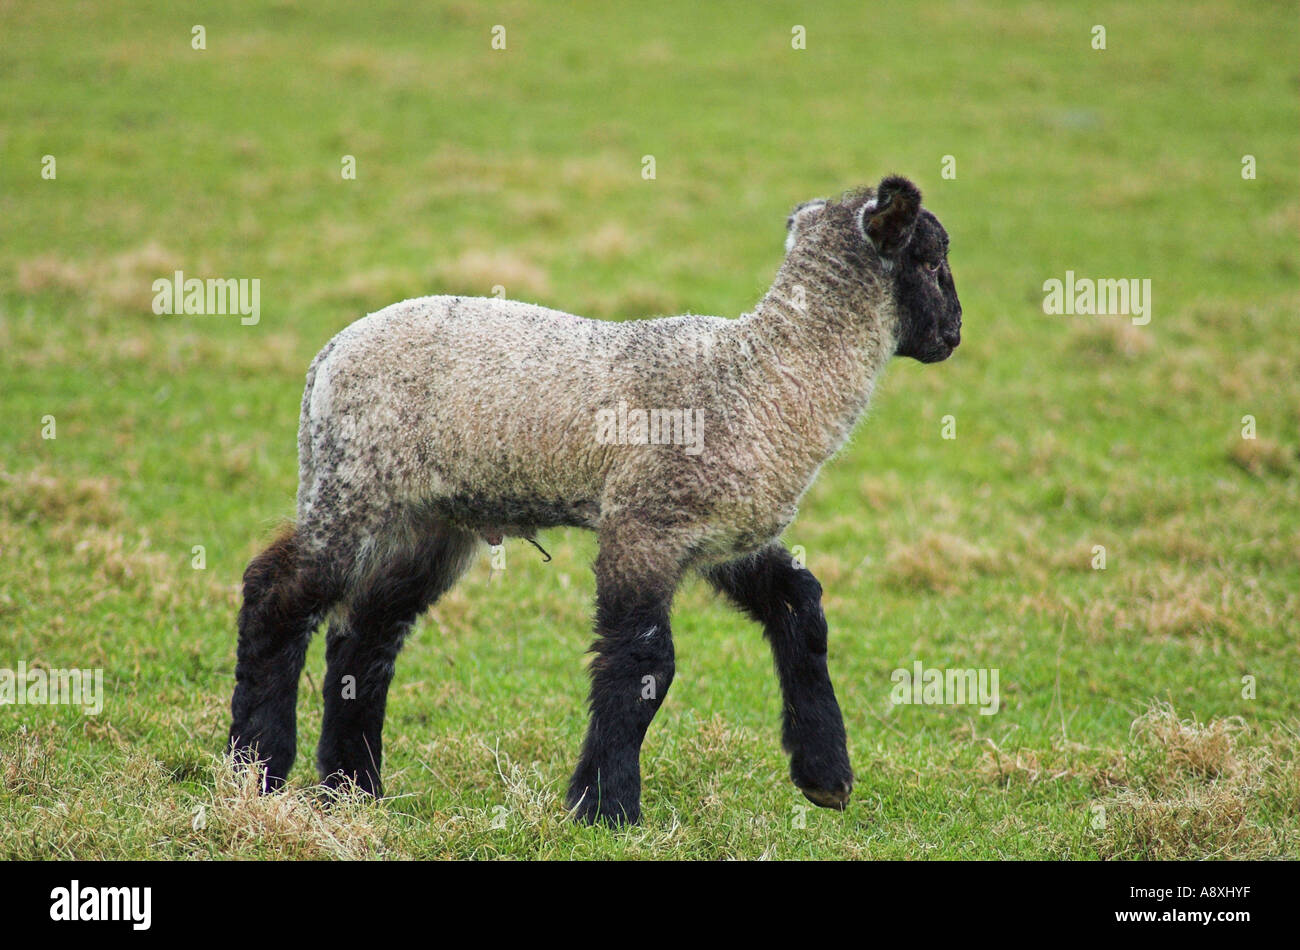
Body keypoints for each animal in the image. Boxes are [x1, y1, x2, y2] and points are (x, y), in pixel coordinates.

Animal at [228, 174, 963, 826]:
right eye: (932, 262)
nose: (953, 334)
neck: (766, 377)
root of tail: (326, 358)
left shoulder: (724, 533)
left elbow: (801, 608)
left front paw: (825, 774)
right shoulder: (645, 523)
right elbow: (642, 664)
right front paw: (606, 808)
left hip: (425, 524)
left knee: (364, 643)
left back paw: (353, 789)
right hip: (355, 487)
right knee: (275, 598)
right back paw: (257, 767)